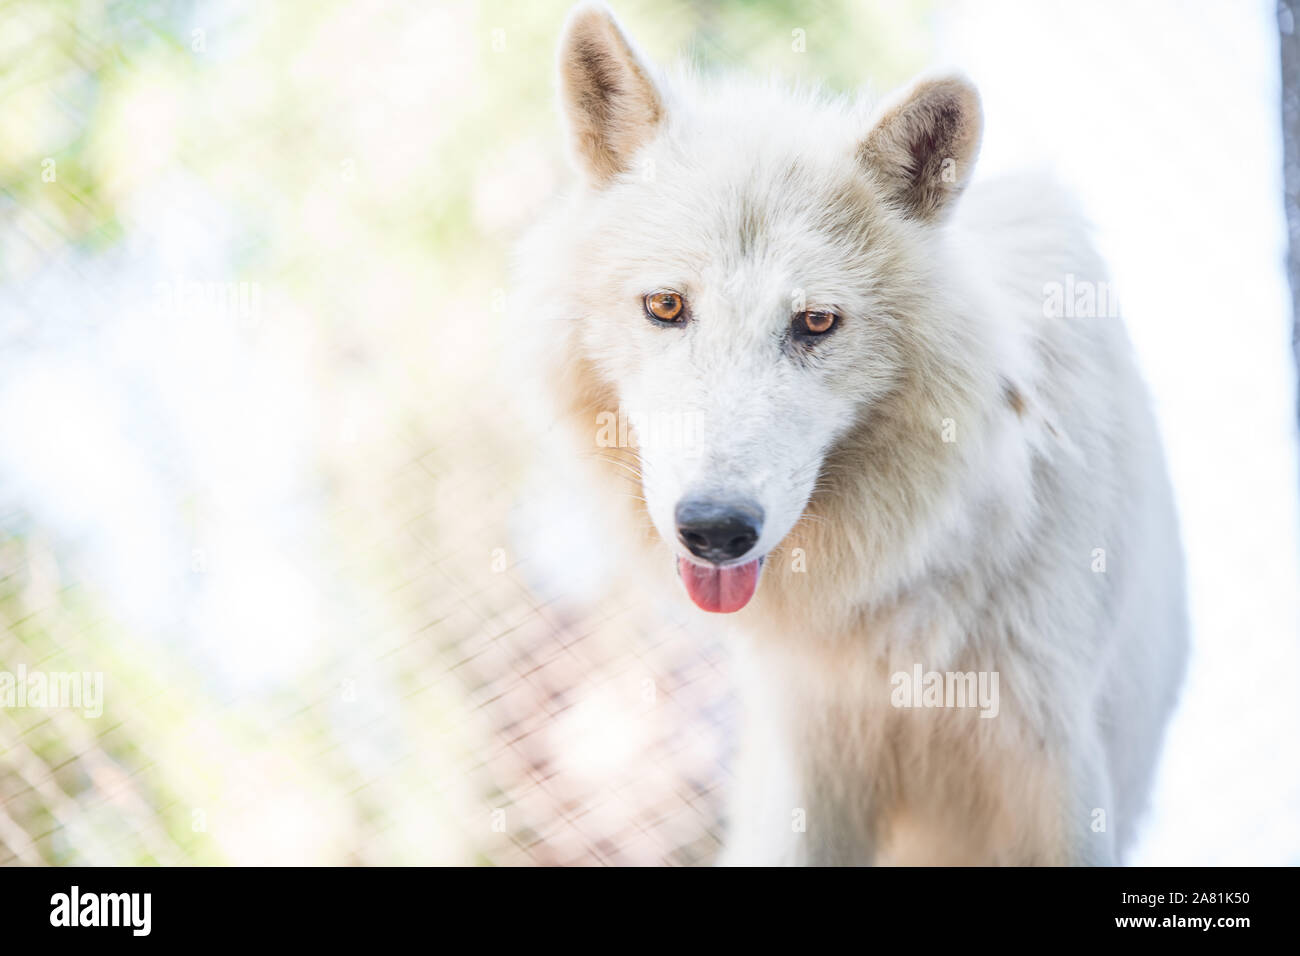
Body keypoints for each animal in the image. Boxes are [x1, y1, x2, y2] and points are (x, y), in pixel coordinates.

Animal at [514, 2, 1187, 865]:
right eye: (665, 306)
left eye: (816, 323)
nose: (716, 530)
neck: (903, 597)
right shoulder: (810, 773)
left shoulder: (1057, 780)